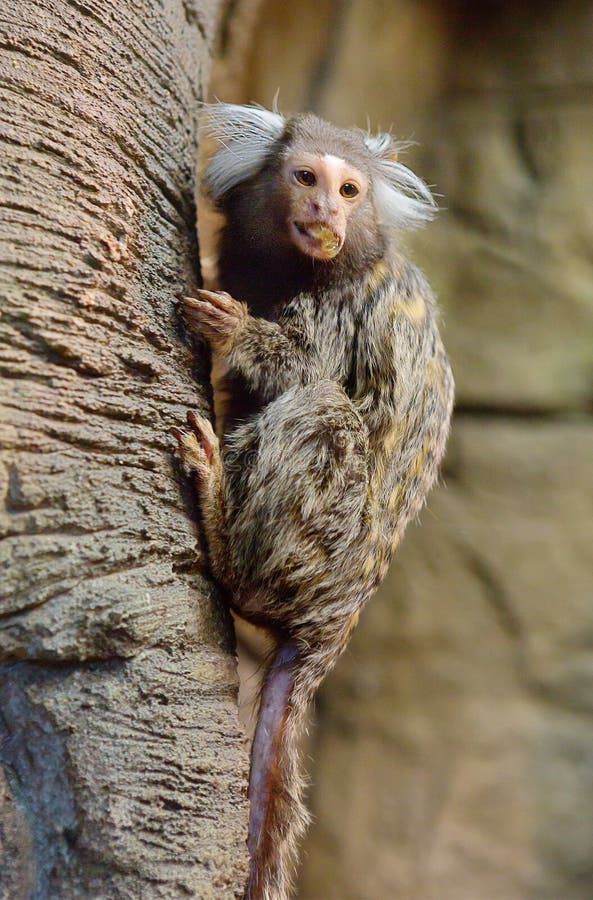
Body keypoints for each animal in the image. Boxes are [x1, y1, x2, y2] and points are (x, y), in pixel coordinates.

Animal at [173, 103, 454, 900]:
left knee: (325, 413)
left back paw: (221, 525)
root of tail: (341, 613)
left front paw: (236, 331)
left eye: (349, 190)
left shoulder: (340, 307)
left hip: (322, 545)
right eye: (305, 178)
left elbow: (306, 368)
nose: (326, 210)